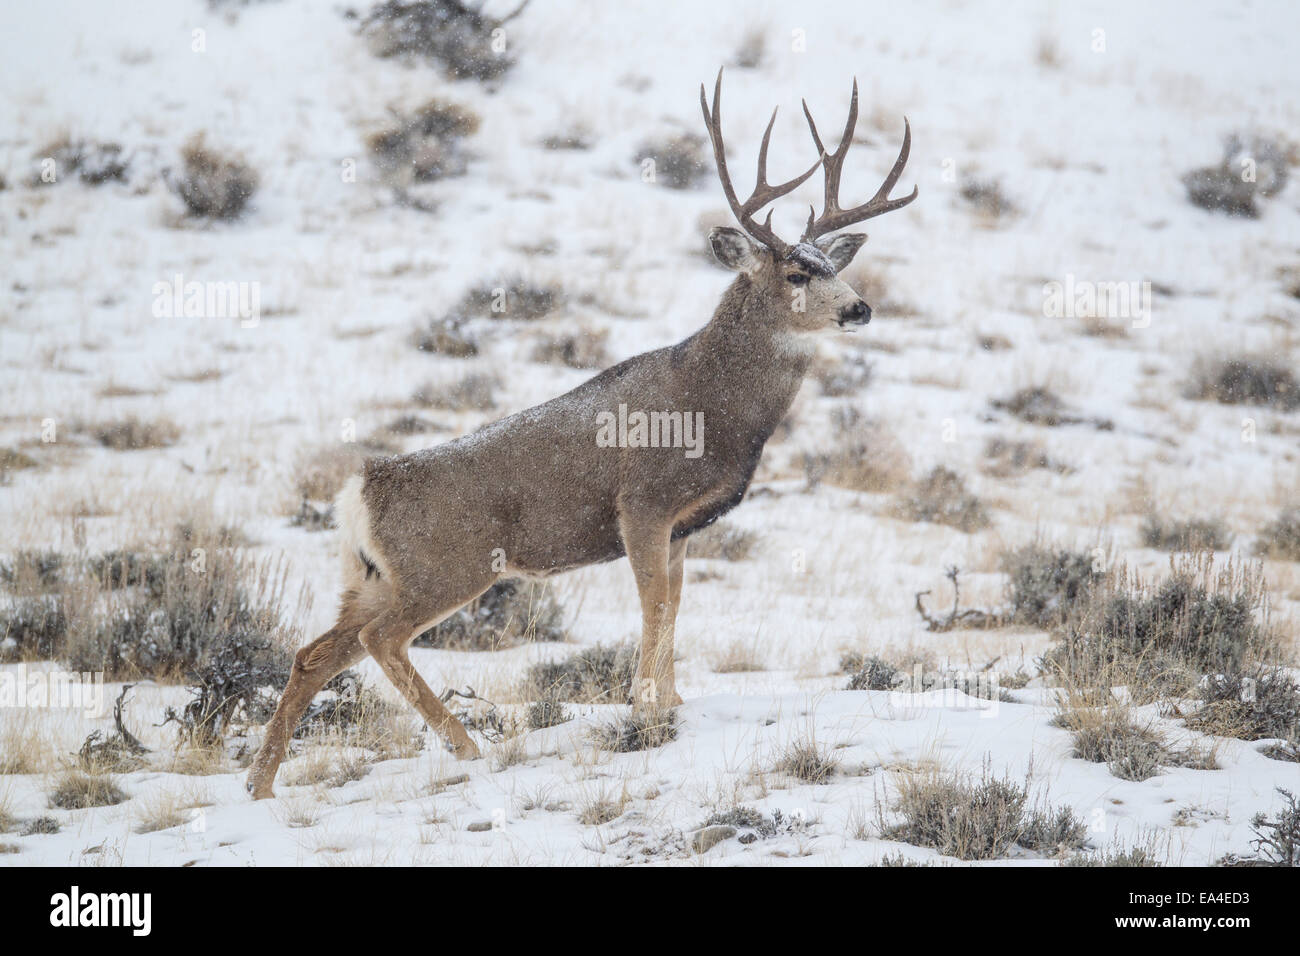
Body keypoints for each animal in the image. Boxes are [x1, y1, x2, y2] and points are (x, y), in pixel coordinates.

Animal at [246, 69, 916, 799]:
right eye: (796, 272)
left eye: (833, 265)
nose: (860, 308)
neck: (709, 404)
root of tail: (361, 489)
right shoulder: (643, 503)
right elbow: (654, 607)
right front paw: (645, 710)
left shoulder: (682, 527)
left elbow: (674, 608)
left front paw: (672, 703)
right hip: (447, 564)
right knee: (380, 640)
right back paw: (464, 746)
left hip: (370, 576)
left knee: (314, 652)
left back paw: (260, 785)